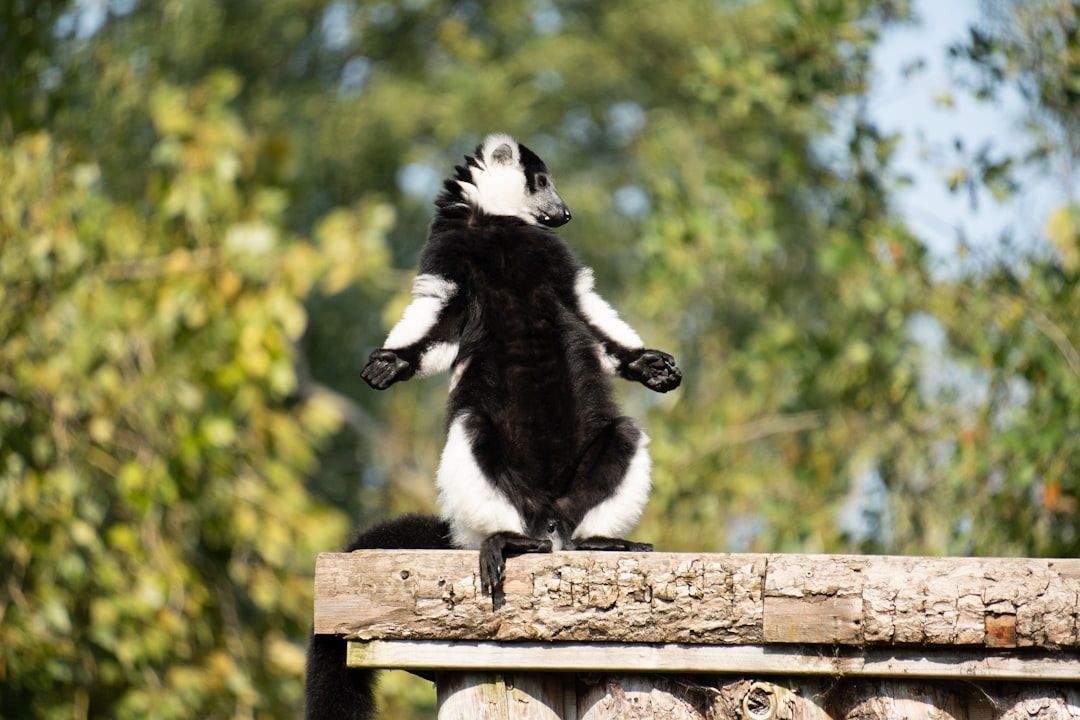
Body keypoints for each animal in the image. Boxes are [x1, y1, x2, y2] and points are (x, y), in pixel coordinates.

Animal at [305, 134, 681, 719]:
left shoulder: (550, 257)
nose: (563, 212)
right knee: (472, 429)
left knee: (622, 433)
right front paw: (390, 363)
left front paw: (649, 365)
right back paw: (509, 540)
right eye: (543, 181)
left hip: (573, 495)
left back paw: (597, 543)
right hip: (510, 490)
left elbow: (585, 307)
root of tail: (549, 520)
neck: (494, 224)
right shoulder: (449, 257)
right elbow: (438, 322)